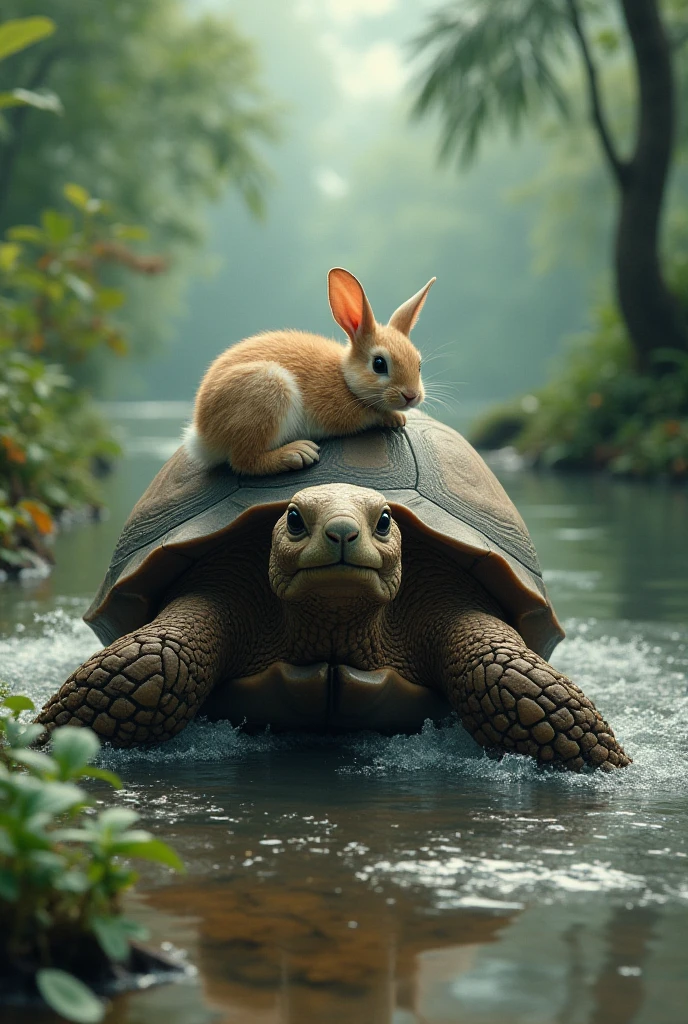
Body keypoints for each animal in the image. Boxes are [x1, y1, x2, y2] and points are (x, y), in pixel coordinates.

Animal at [183, 267, 435, 476]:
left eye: (419, 365)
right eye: (379, 364)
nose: (411, 396)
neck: (345, 379)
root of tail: (202, 437)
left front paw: (397, 417)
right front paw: (391, 417)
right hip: (268, 392)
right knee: (244, 461)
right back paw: (297, 453)